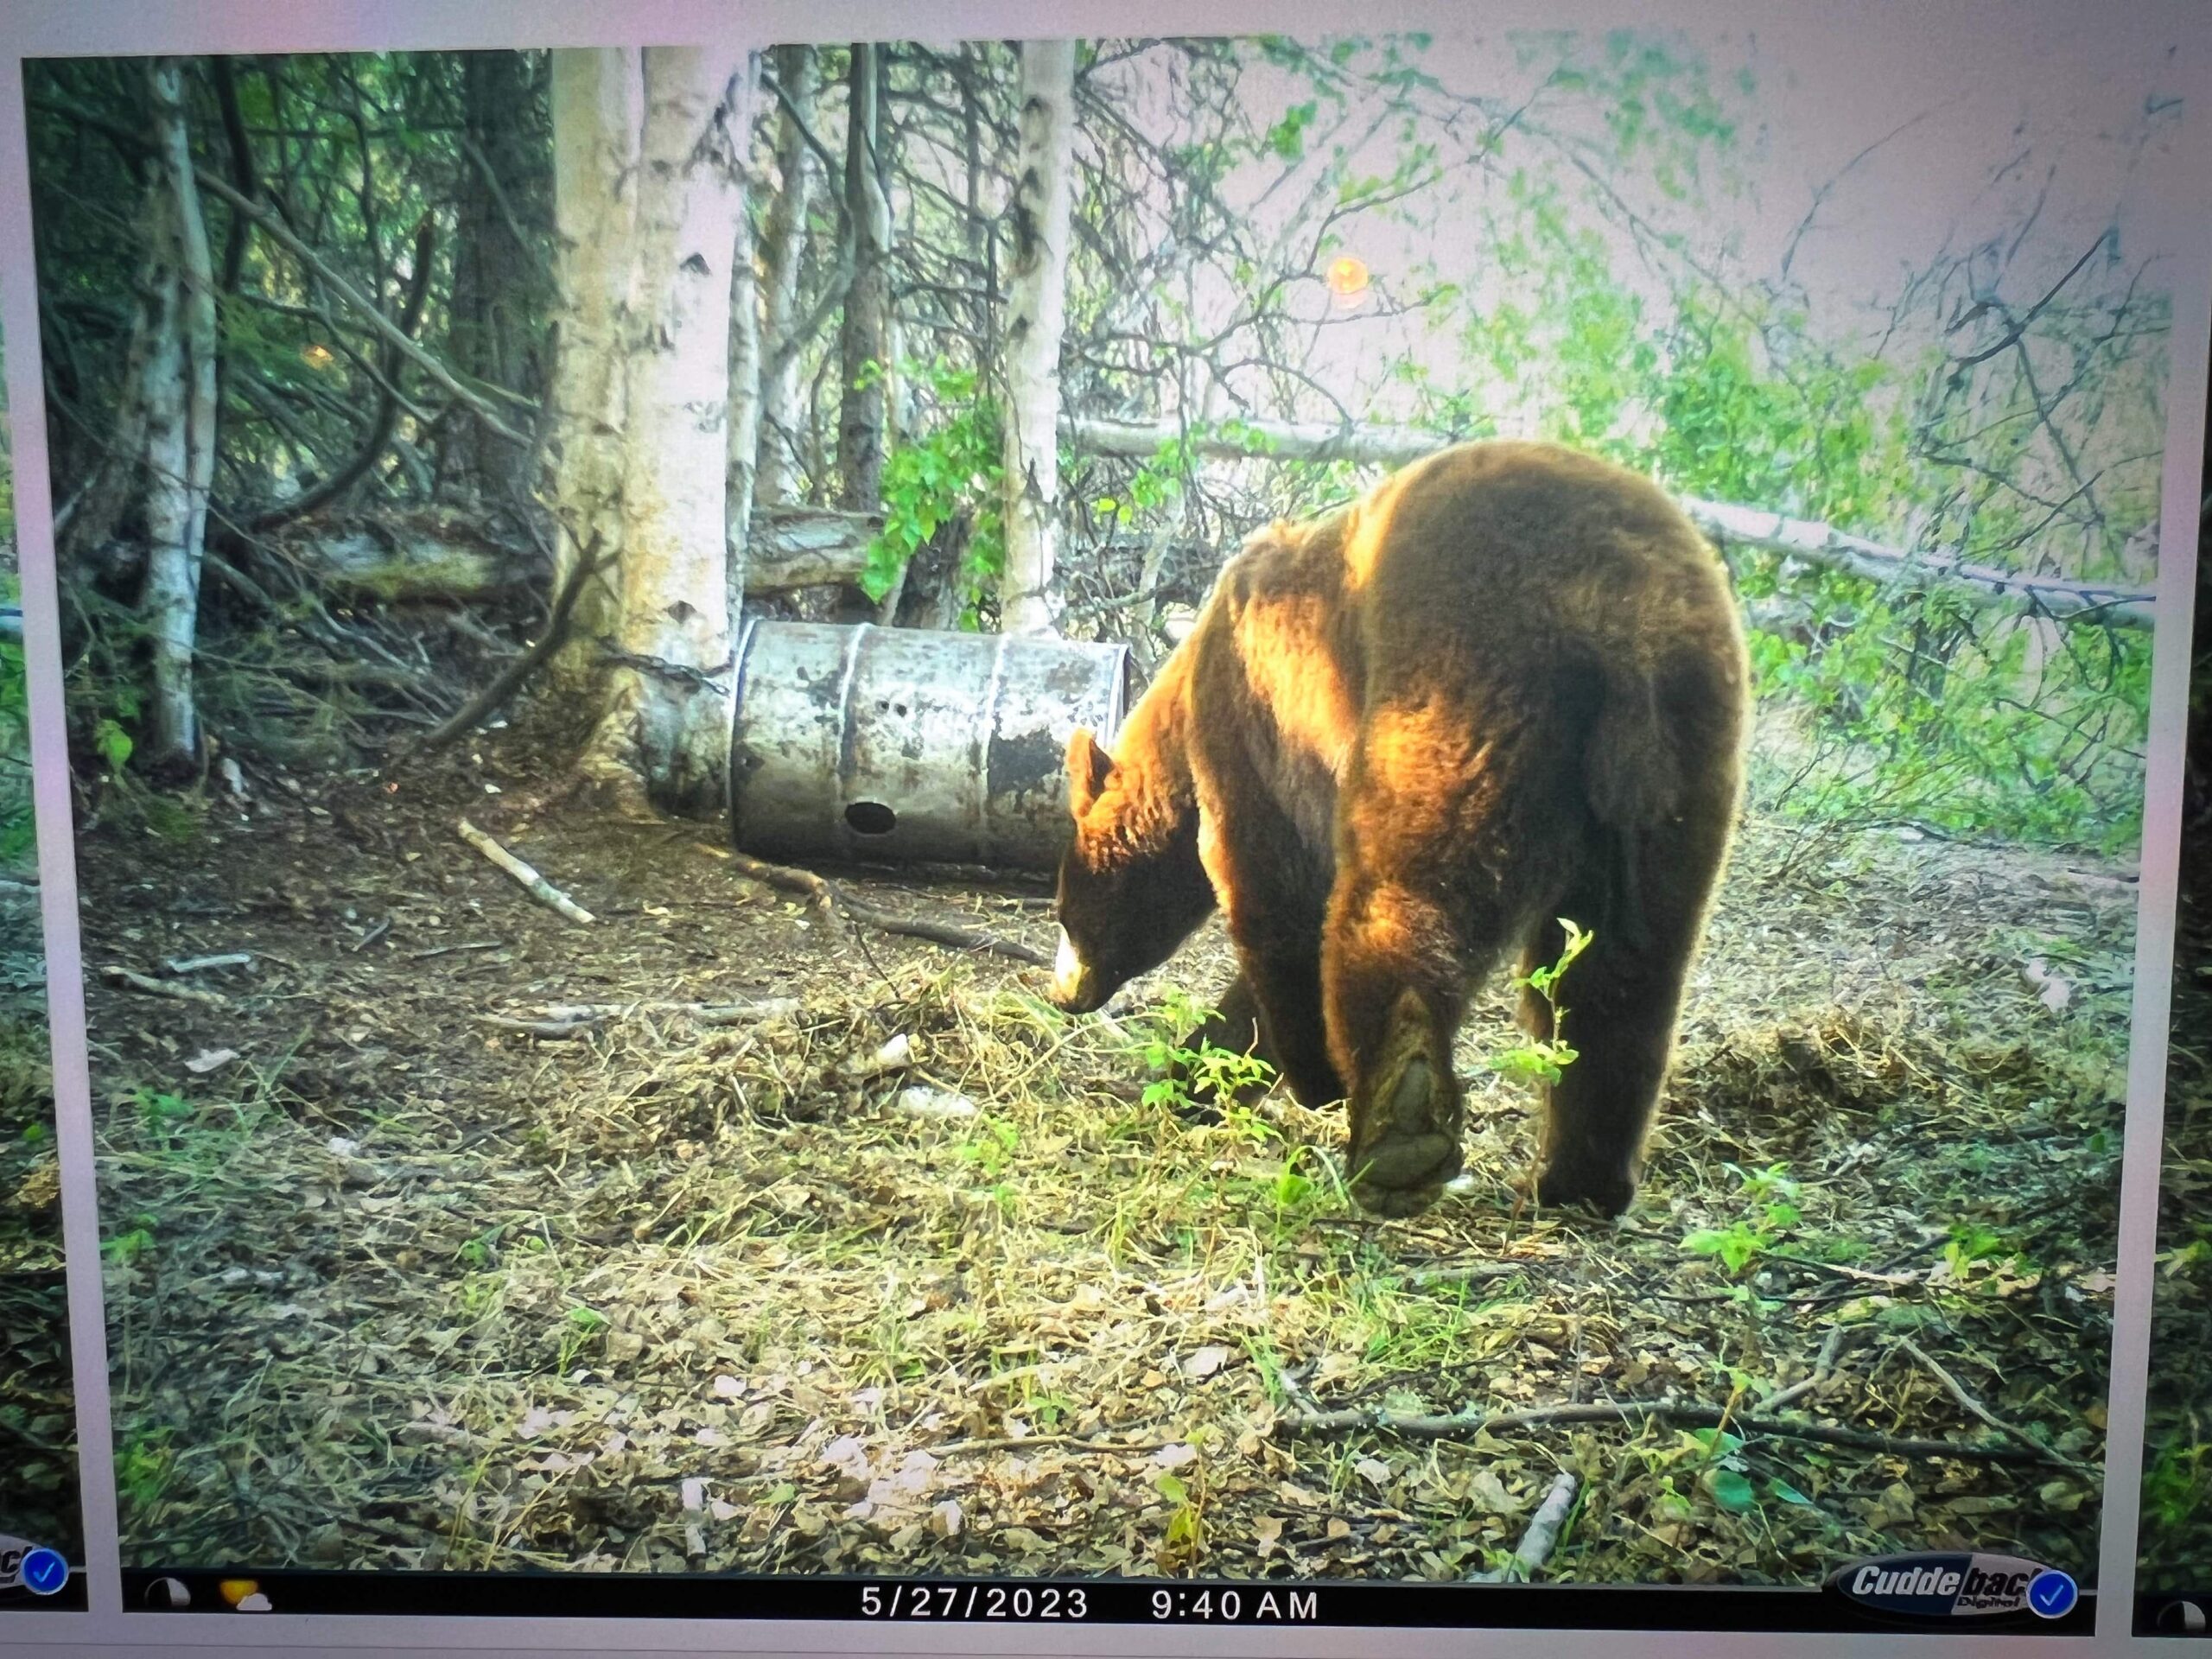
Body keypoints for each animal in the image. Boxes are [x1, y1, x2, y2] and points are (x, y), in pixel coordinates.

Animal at [1047, 439, 1749, 1220]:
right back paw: (1578, 1179)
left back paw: (1398, 1125)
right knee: (1624, 970)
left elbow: (1274, 894)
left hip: (1451, 692)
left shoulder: (1250, 724)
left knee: (1400, 898)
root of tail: (1620, 611)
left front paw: (1304, 1072)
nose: (1064, 994)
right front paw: (1196, 1072)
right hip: (1677, 764)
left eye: (1065, 911)